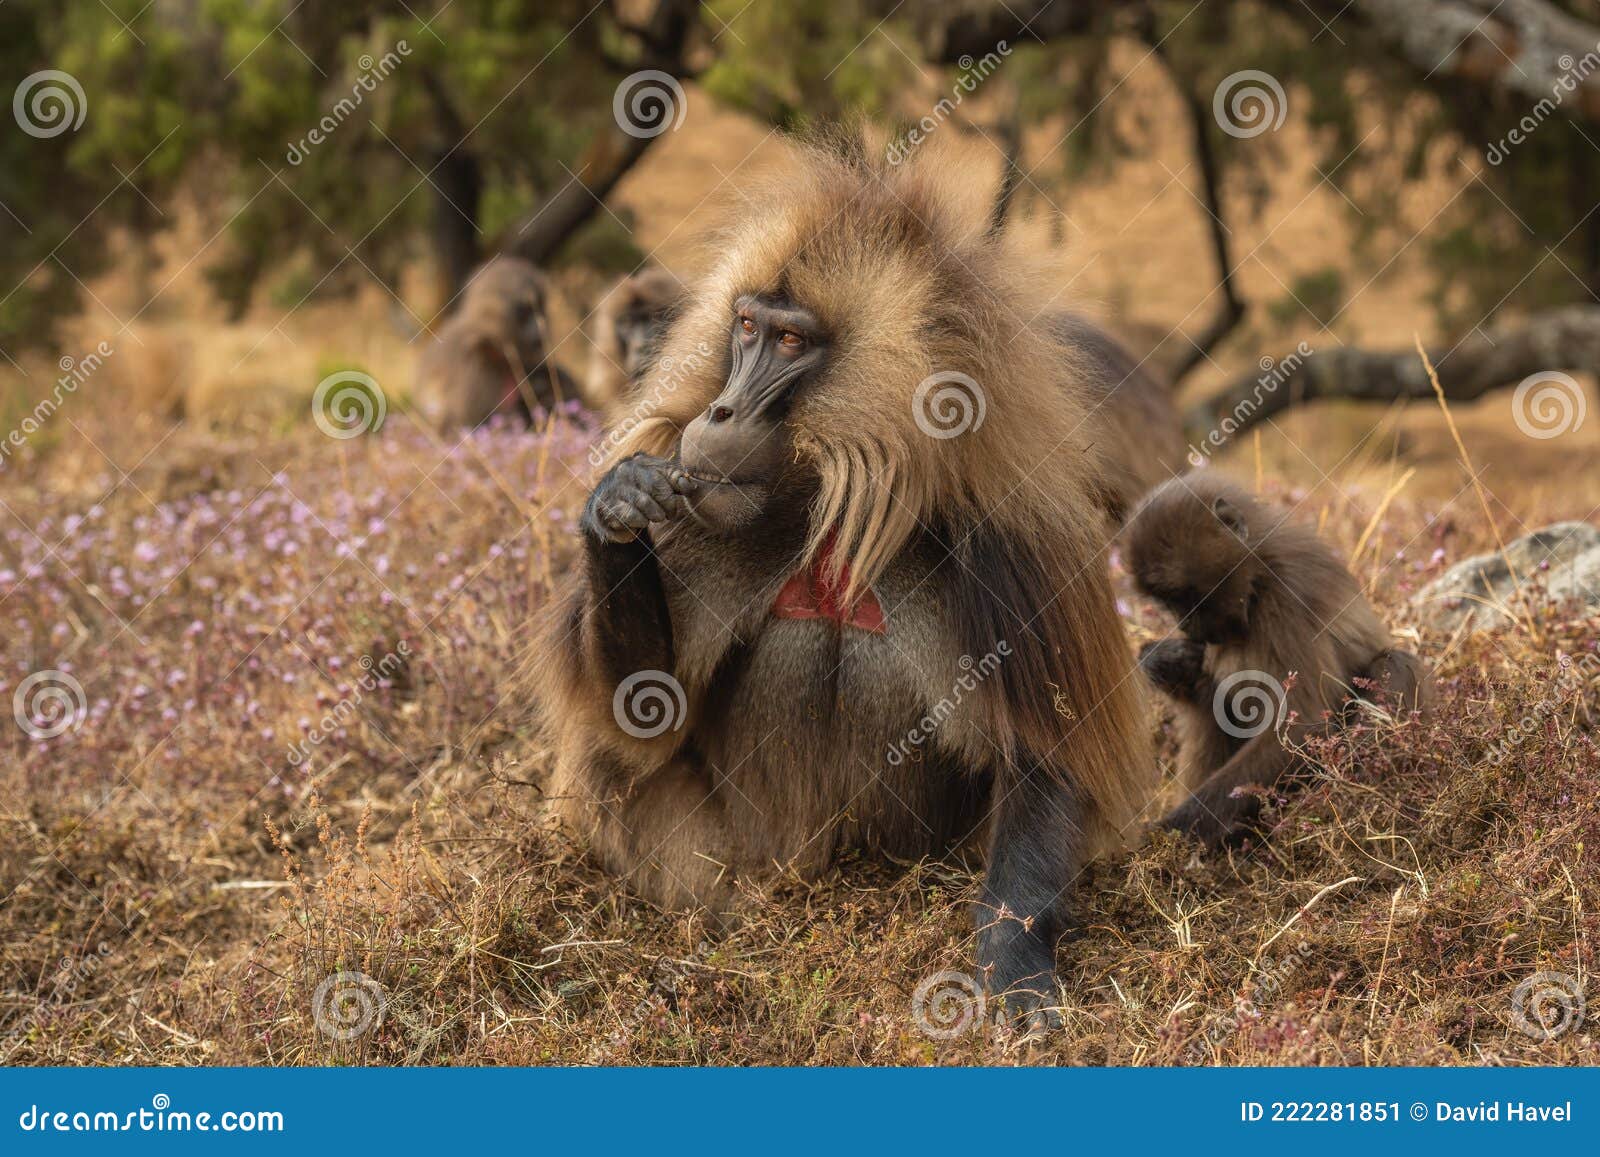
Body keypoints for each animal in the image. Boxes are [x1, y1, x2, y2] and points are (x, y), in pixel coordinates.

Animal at [1124, 472, 1431, 846]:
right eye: (1169, 602)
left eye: (1187, 596)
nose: (1185, 624)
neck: (1258, 571)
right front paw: (1162, 659)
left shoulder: (1286, 599)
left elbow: (1302, 727)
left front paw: (1164, 837)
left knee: (1393, 665)